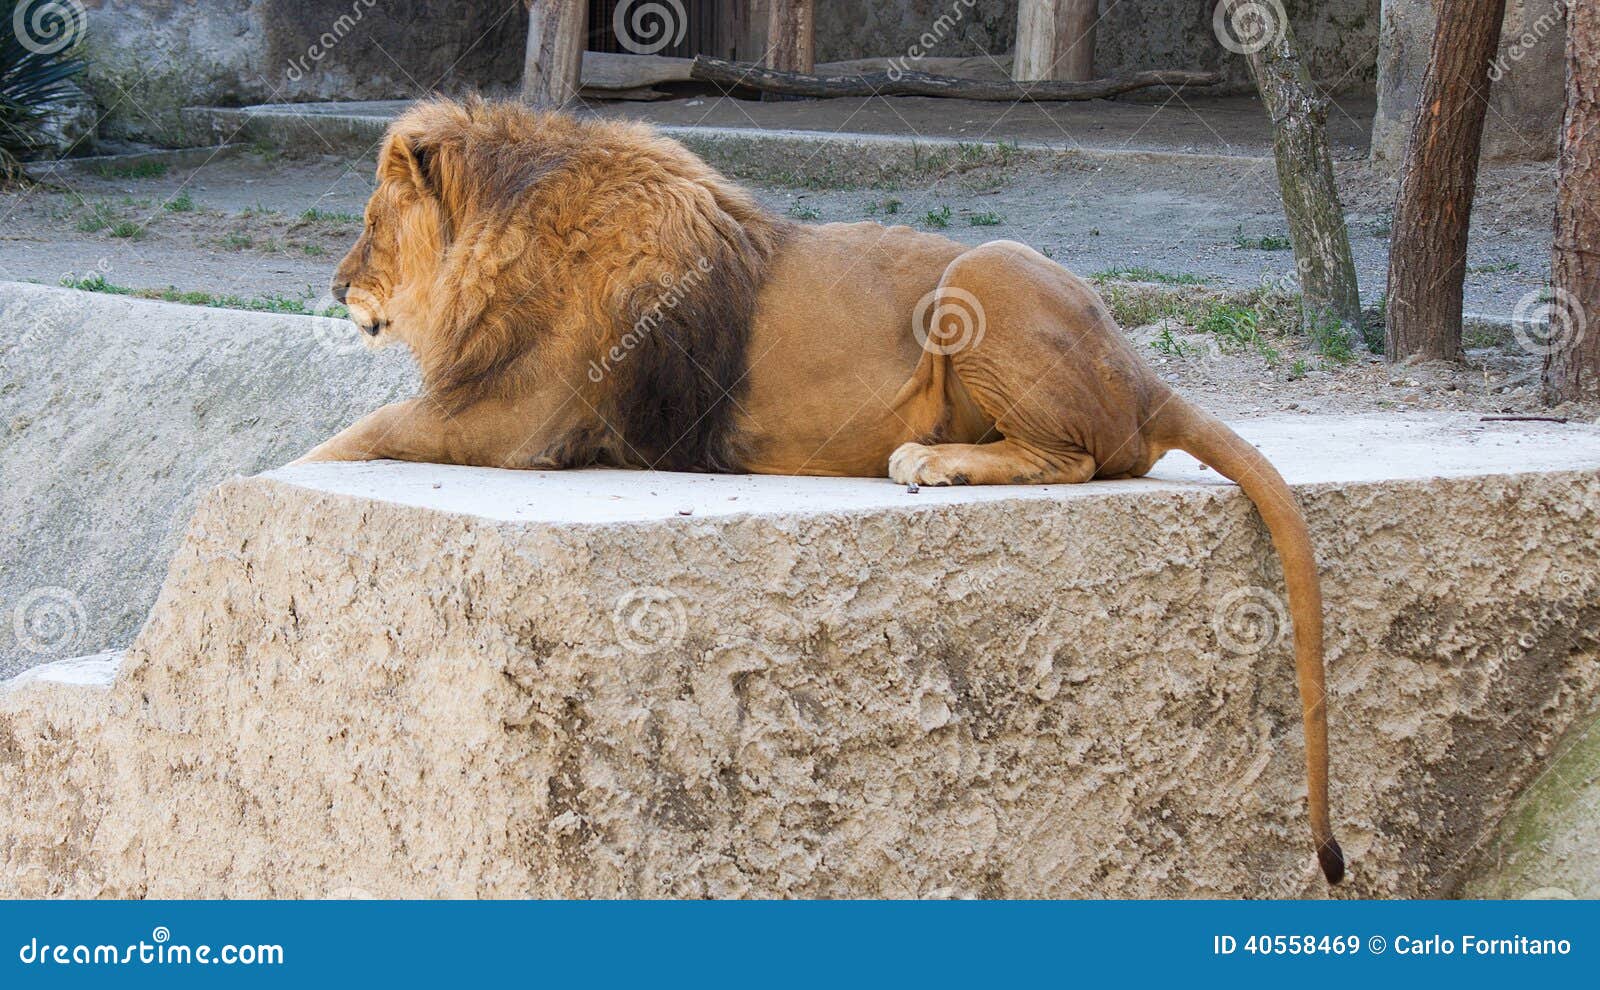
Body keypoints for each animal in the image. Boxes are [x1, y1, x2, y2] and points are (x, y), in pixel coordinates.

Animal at [302, 97, 1343, 885]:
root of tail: (1147, 373)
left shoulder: (522, 417)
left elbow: (349, 437)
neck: (507, 237)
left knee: (1080, 460)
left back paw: (932, 462)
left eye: (368, 223)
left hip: (981, 269)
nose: (336, 287)